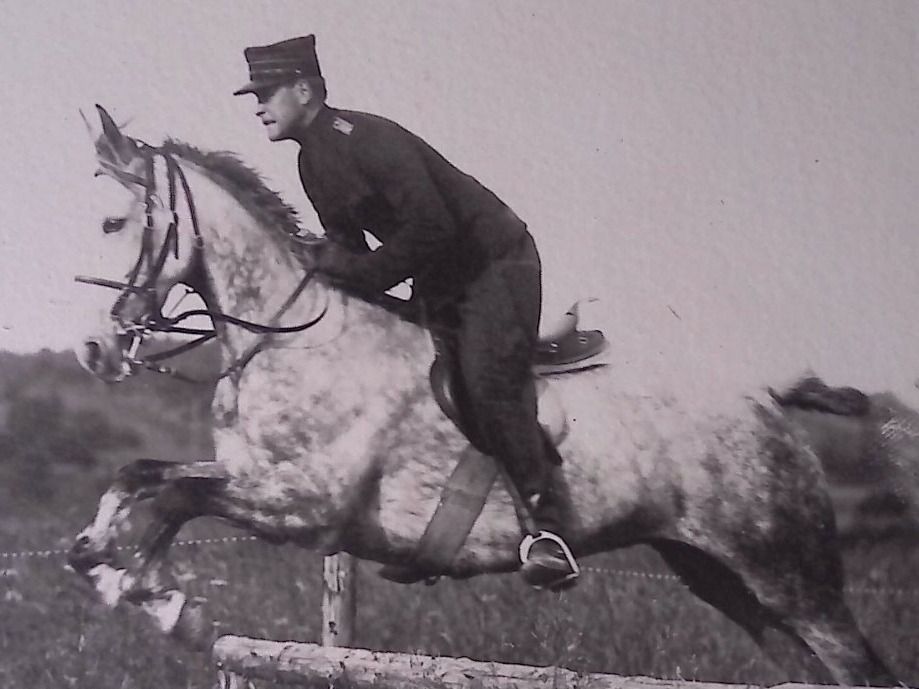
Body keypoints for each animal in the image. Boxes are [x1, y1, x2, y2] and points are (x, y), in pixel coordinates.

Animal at [67, 105, 897, 686]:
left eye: (113, 221)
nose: (93, 350)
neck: (284, 335)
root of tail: (764, 397)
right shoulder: (258, 482)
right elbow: (143, 477)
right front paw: (105, 561)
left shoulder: (298, 505)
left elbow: (175, 495)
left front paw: (156, 597)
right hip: (721, 577)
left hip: (789, 574)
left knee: (859, 667)